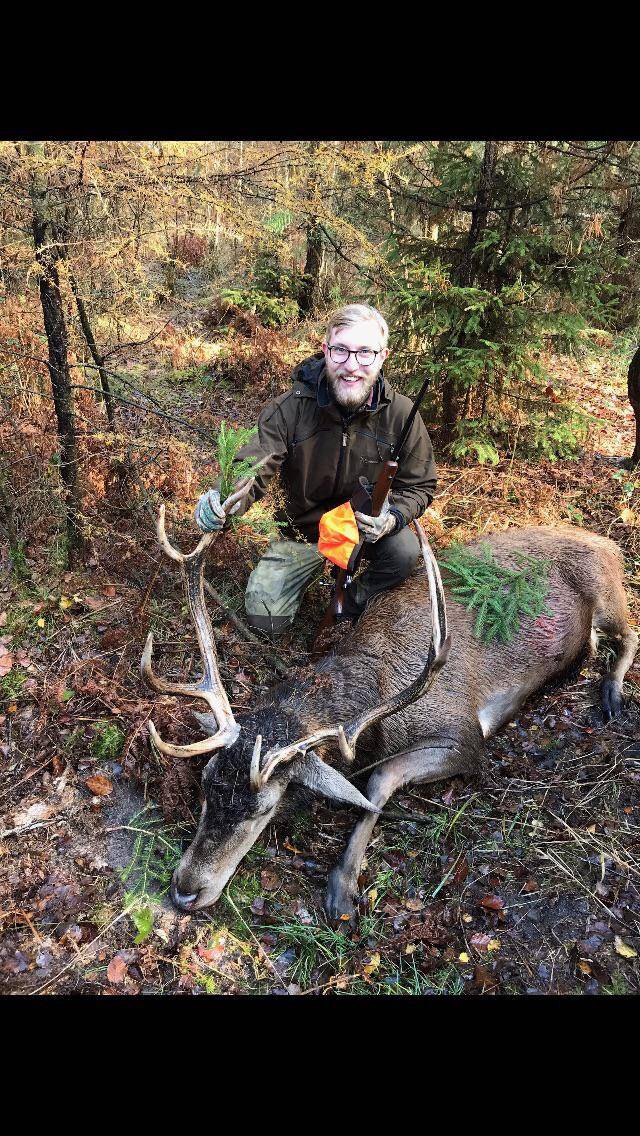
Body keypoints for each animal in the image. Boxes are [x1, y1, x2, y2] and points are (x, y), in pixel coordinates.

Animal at [141, 478, 638, 923]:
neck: (376, 692)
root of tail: (608, 543)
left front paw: (342, 887)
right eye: (207, 782)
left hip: (608, 593)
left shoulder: (465, 737)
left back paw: (612, 695)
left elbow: (378, 781)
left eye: (265, 806)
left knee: (629, 635)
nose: (184, 891)